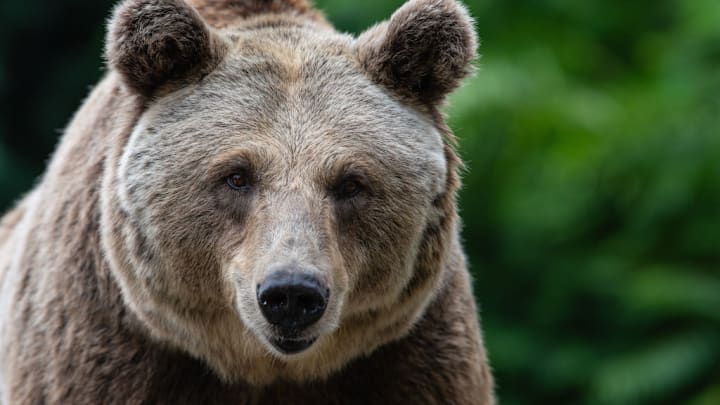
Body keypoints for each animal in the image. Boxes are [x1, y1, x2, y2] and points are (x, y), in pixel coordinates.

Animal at [0, 0, 494, 403]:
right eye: (237, 176)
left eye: (351, 183)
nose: (292, 294)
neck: (267, 371)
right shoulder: (102, 348)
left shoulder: (411, 359)